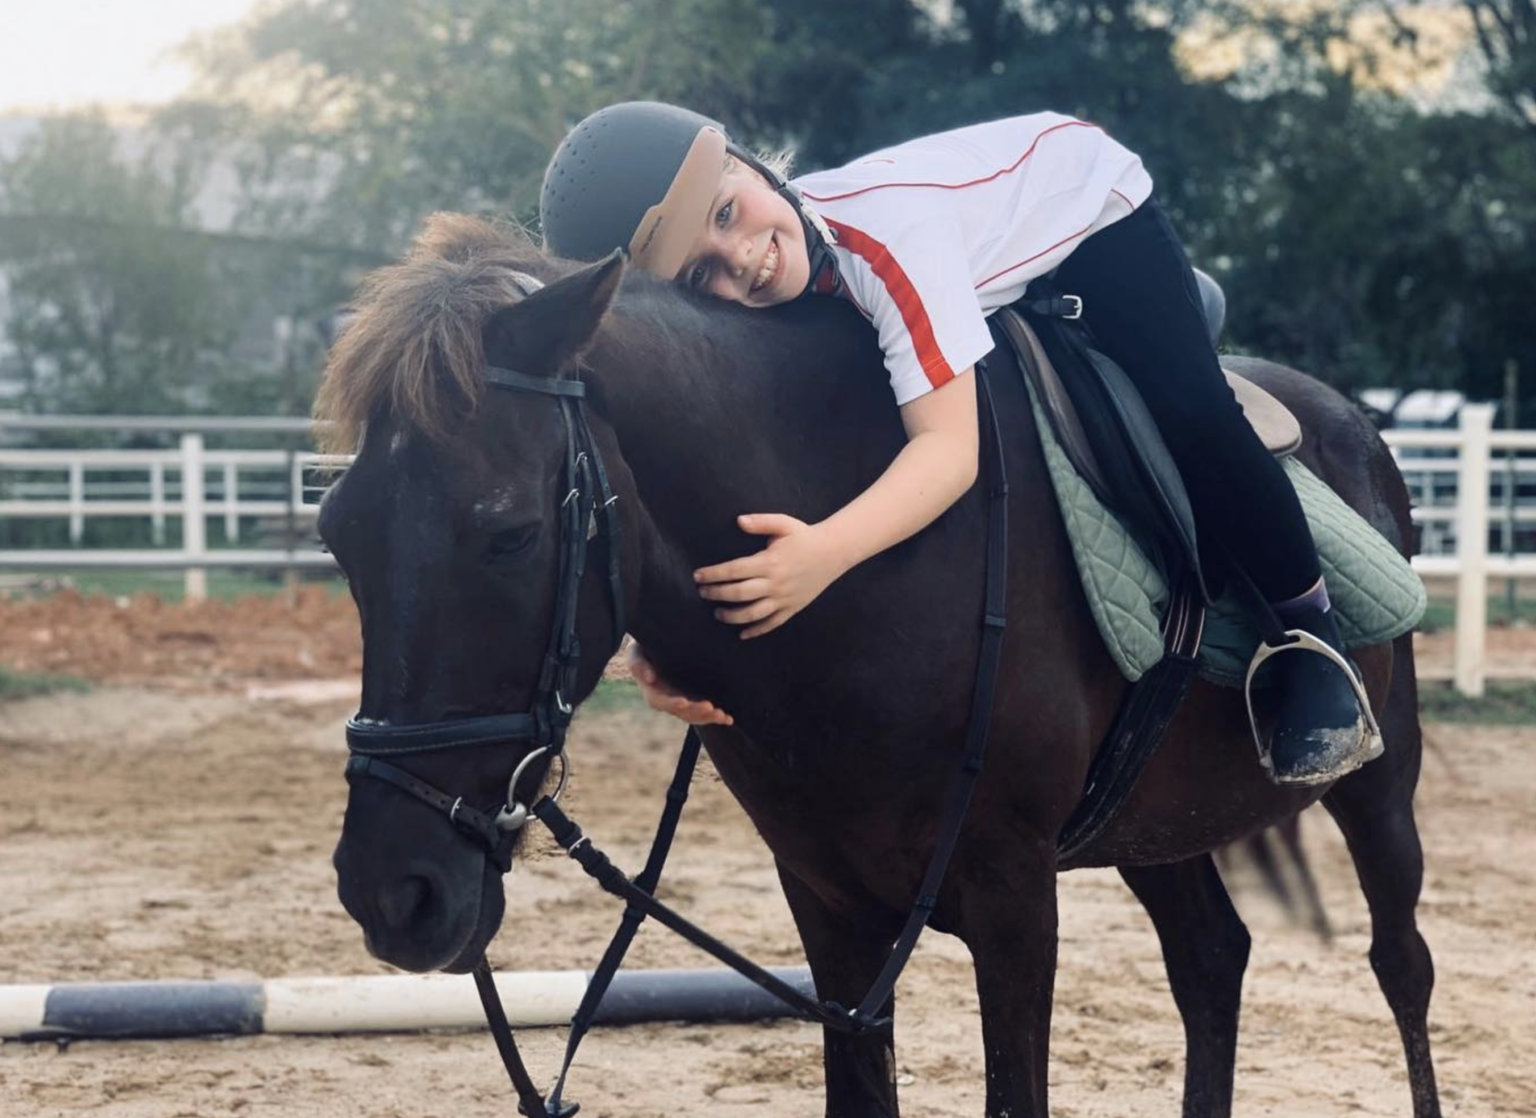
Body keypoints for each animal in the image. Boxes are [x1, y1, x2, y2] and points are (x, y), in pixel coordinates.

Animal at [319, 213, 1440, 1118]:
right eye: (336, 532)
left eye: (508, 533)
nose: (392, 892)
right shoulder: (829, 905)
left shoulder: (1014, 897)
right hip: (1154, 822)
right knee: (1211, 961)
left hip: (1381, 778)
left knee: (1401, 964)